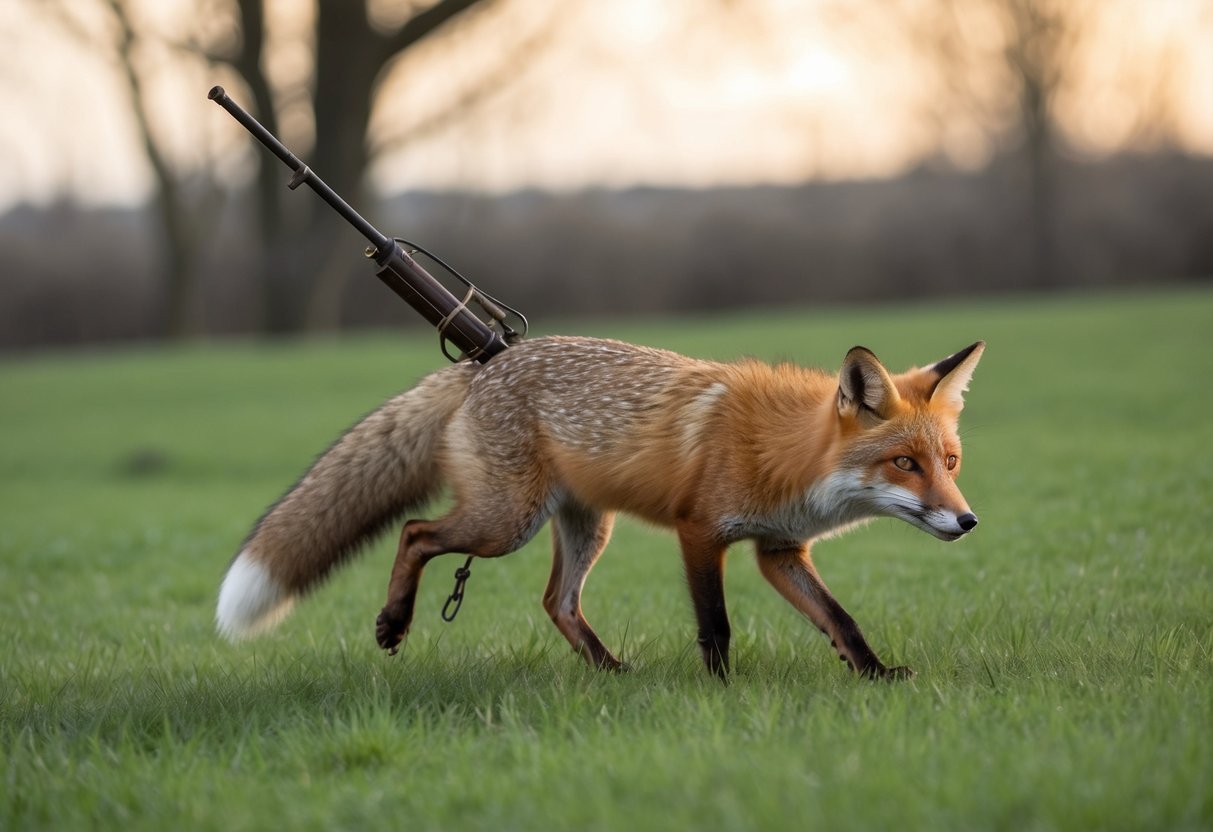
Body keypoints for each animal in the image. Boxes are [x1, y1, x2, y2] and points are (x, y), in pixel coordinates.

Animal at [216, 335, 984, 679]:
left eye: (948, 463)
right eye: (904, 463)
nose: (968, 521)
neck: (783, 452)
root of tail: (482, 366)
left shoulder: (778, 550)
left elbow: (840, 619)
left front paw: (875, 674)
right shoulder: (699, 533)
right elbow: (716, 626)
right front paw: (721, 691)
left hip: (586, 526)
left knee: (556, 601)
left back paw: (610, 671)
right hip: (505, 524)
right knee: (415, 532)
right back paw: (393, 622)